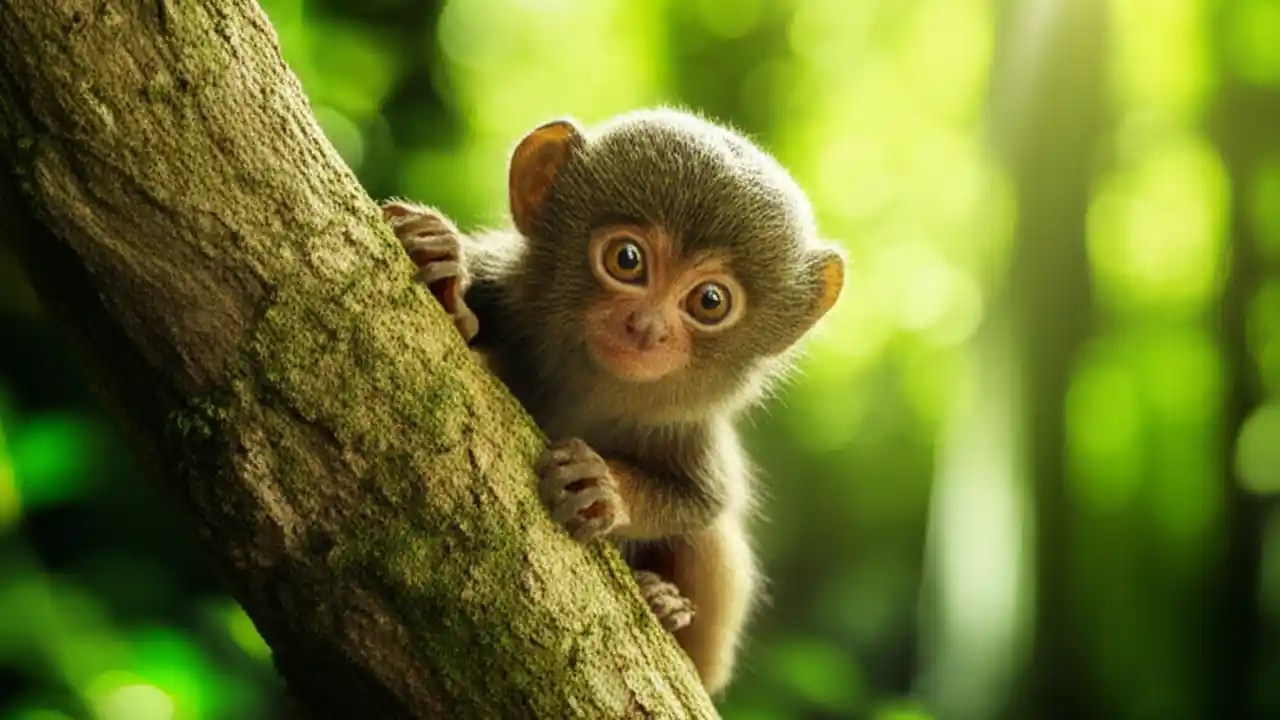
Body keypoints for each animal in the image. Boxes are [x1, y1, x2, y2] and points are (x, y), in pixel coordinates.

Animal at [381, 108, 844, 695]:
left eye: (709, 301)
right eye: (627, 260)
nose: (646, 326)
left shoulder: (691, 431)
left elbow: (704, 503)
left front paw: (604, 490)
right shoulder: (503, 279)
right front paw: (443, 270)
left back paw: (665, 607)